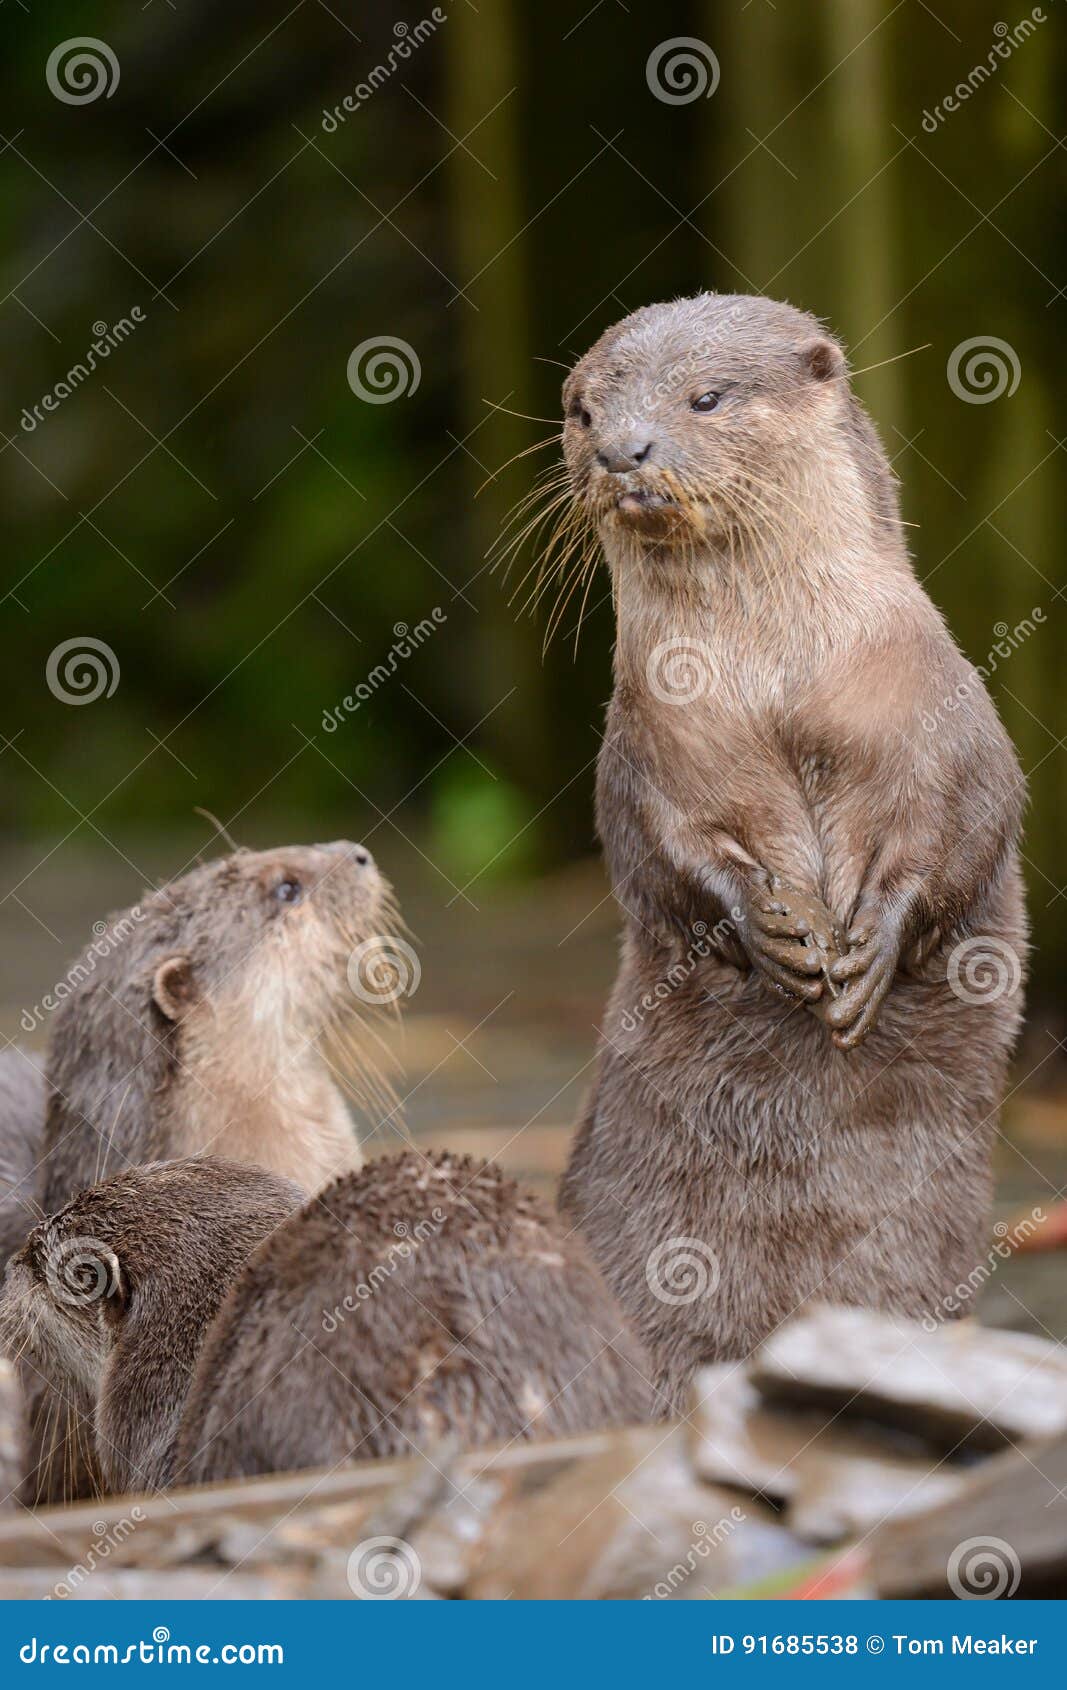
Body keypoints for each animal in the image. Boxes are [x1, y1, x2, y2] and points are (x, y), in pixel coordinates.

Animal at [552, 293, 1027, 1408]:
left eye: (705, 397)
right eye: (583, 409)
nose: (624, 450)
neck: (775, 681)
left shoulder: (936, 715)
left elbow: (961, 827)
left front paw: (867, 951)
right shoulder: (649, 747)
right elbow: (659, 854)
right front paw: (764, 930)